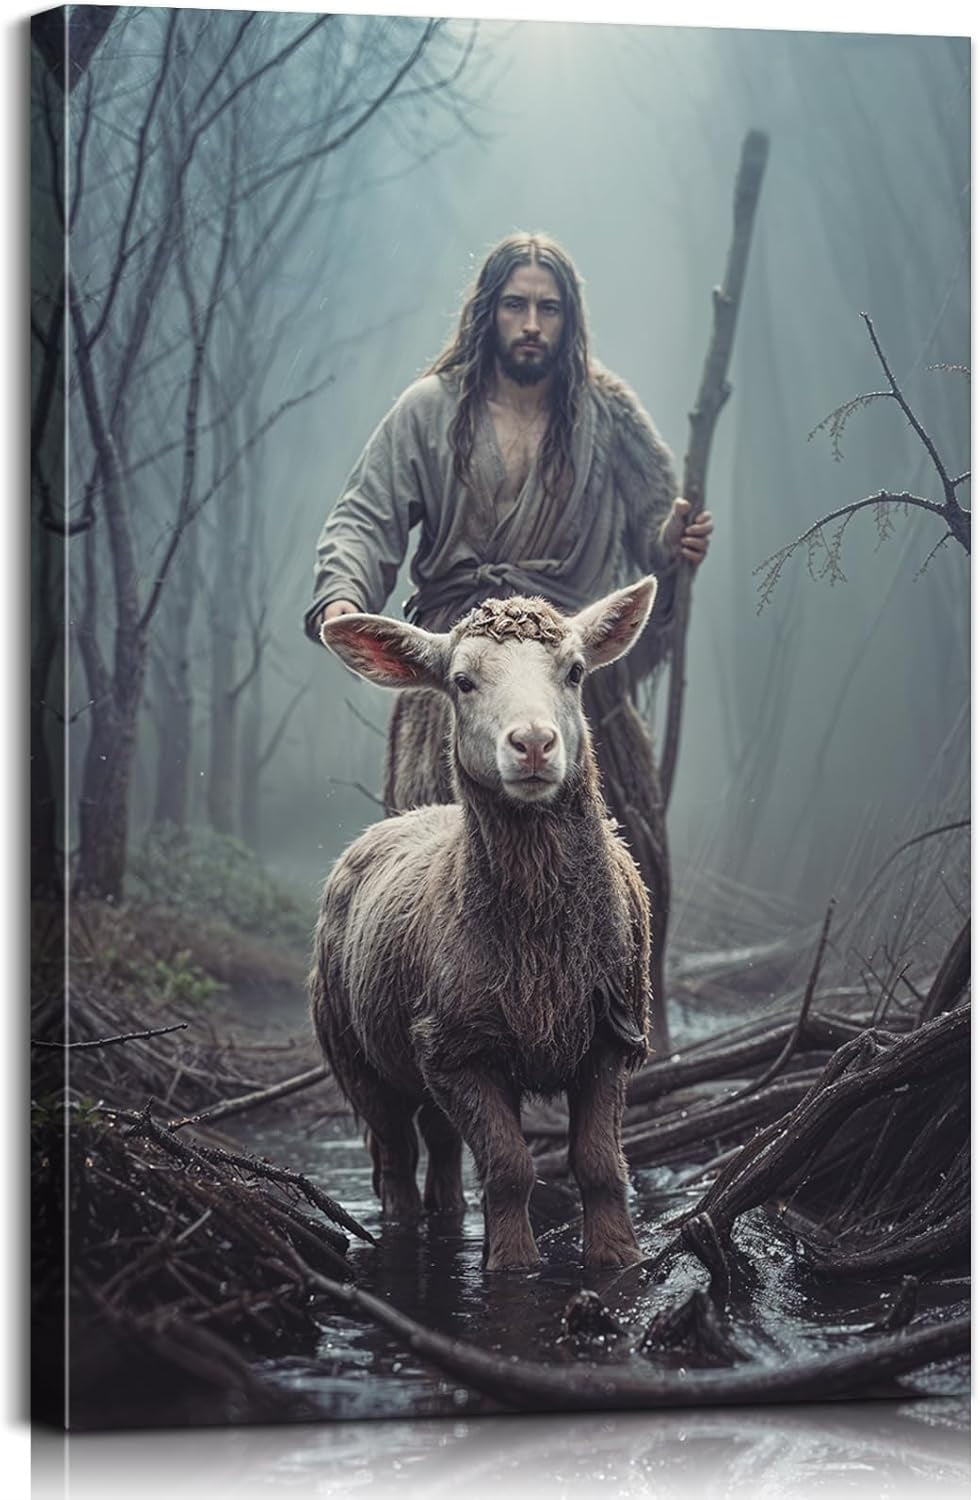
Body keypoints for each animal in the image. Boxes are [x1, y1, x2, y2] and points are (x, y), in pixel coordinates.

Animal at [310, 577, 656, 1271]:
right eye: (462, 682)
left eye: (575, 672)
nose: (533, 743)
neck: (542, 950)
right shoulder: (459, 1052)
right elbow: (509, 1167)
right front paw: (513, 1265)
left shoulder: (613, 1034)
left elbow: (599, 1164)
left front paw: (616, 1256)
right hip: (355, 1051)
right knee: (396, 1154)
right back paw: (403, 1227)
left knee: (442, 1147)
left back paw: (450, 1215)